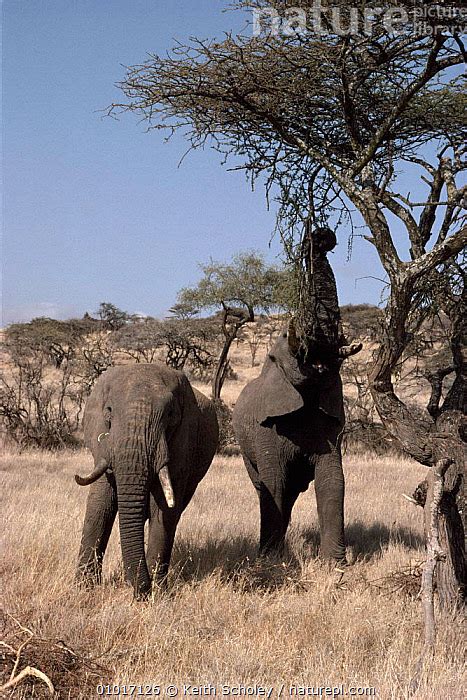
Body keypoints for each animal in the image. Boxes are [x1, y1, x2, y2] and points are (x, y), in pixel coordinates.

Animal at [74, 363, 218, 599]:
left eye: (170, 414)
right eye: (109, 411)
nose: (141, 590)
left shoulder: (183, 442)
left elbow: (164, 511)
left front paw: (156, 594)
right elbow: (100, 506)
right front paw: (83, 589)